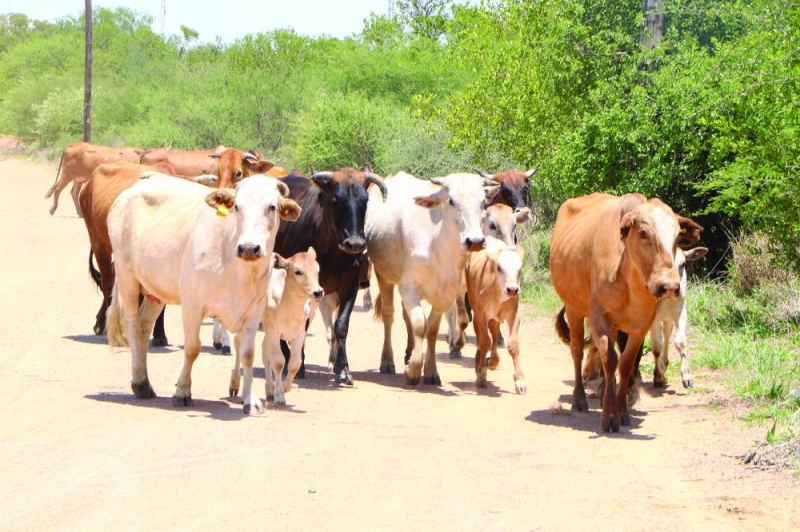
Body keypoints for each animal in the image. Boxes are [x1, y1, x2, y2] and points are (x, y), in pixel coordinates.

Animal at [105, 173, 301, 414]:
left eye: (271, 207)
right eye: (237, 206)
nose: (248, 248)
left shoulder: (254, 312)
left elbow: (248, 354)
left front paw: (250, 400)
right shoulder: (192, 306)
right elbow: (192, 348)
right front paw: (182, 392)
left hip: (155, 291)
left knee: (143, 326)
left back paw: (145, 383)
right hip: (128, 279)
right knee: (132, 326)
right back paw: (140, 383)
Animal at [229, 249, 324, 405]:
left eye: (317, 270)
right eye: (298, 271)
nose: (318, 292)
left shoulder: (299, 333)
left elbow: (295, 363)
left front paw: (283, 388)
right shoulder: (273, 331)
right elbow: (278, 362)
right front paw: (279, 394)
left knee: (264, 351)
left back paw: (269, 389)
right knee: (238, 343)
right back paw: (235, 384)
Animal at [366, 171, 500, 385]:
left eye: (482, 202)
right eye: (451, 201)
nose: (475, 241)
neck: (436, 247)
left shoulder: (444, 296)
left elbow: (431, 330)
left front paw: (430, 371)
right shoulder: (408, 288)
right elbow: (419, 325)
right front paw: (412, 370)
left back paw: (409, 352)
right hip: (383, 276)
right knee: (389, 315)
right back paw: (387, 361)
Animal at [464, 236, 526, 393]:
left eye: (520, 269)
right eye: (499, 267)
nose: (512, 289)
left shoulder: (514, 314)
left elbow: (513, 345)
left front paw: (520, 381)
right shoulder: (481, 314)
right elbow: (485, 341)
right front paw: (481, 374)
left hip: (495, 317)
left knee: (493, 330)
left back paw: (493, 360)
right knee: (481, 336)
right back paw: (479, 362)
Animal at [582, 246, 709, 390]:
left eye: (683, 264)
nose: (674, 287)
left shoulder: (680, 312)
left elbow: (680, 343)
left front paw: (686, 376)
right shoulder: (652, 320)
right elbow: (656, 348)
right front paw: (658, 376)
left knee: (666, 334)